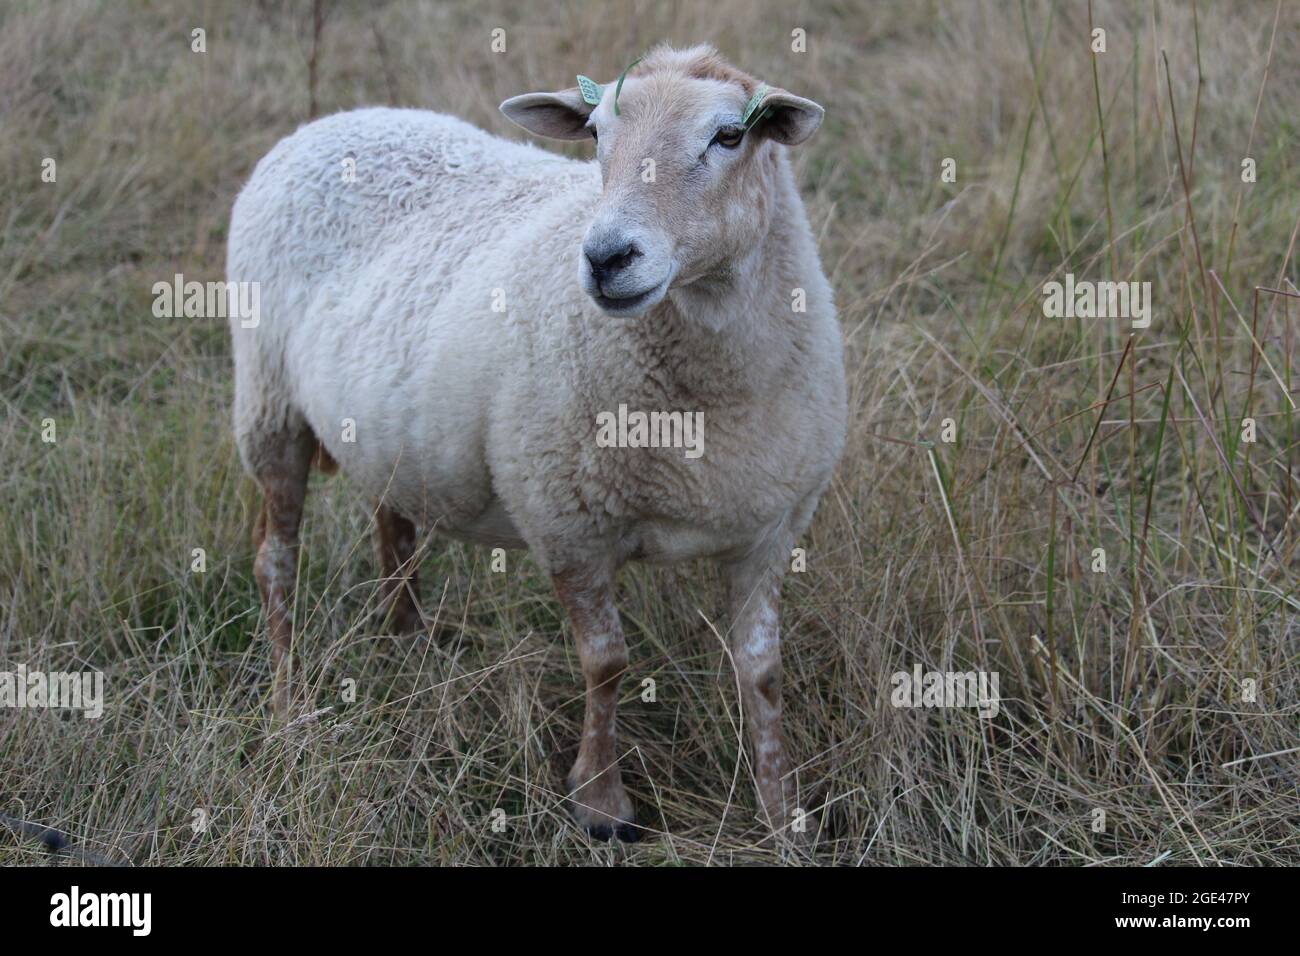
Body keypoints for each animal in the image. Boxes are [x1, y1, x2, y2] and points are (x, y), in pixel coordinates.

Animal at [227, 43, 847, 841]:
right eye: (596, 134)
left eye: (730, 135)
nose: (607, 256)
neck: (708, 407)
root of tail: (332, 119)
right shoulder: (566, 521)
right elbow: (606, 663)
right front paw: (602, 804)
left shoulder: (772, 528)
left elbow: (762, 672)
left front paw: (782, 811)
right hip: (268, 403)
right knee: (275, 559)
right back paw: (286, 701)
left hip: (381, 423)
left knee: (392, 517)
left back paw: (411, 640)